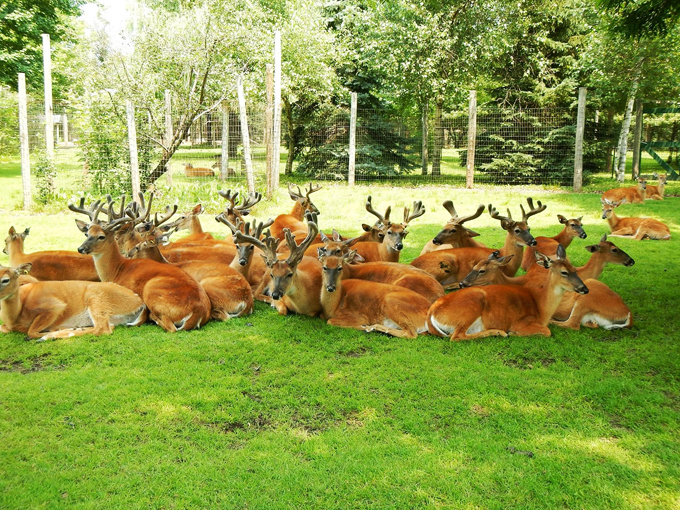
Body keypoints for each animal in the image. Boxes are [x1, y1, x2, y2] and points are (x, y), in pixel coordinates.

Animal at [0, 263, 147, 341]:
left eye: (5, 279)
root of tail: (140, 303)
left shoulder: (55, 306)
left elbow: (31, 331)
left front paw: (47, 333)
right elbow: (3, 328)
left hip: (96, 298)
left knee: (103, 329)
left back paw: (52, 335)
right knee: (107, 326)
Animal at [71, 198, 212, 332]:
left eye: (101, 236)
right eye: (87, 234)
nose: (80, 248)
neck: (117, 269)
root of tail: (199, 311)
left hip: (151, 289)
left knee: (170, 327)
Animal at [427, 245, 589, 340]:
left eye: (575, 269)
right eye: (564, 272)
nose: (585, 289)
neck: (541, 306)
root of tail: (432, 311)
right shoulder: (522, 321)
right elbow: (547, 331)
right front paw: (514, 333)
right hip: (472, 306)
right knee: (457, 336)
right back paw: (499, 332)